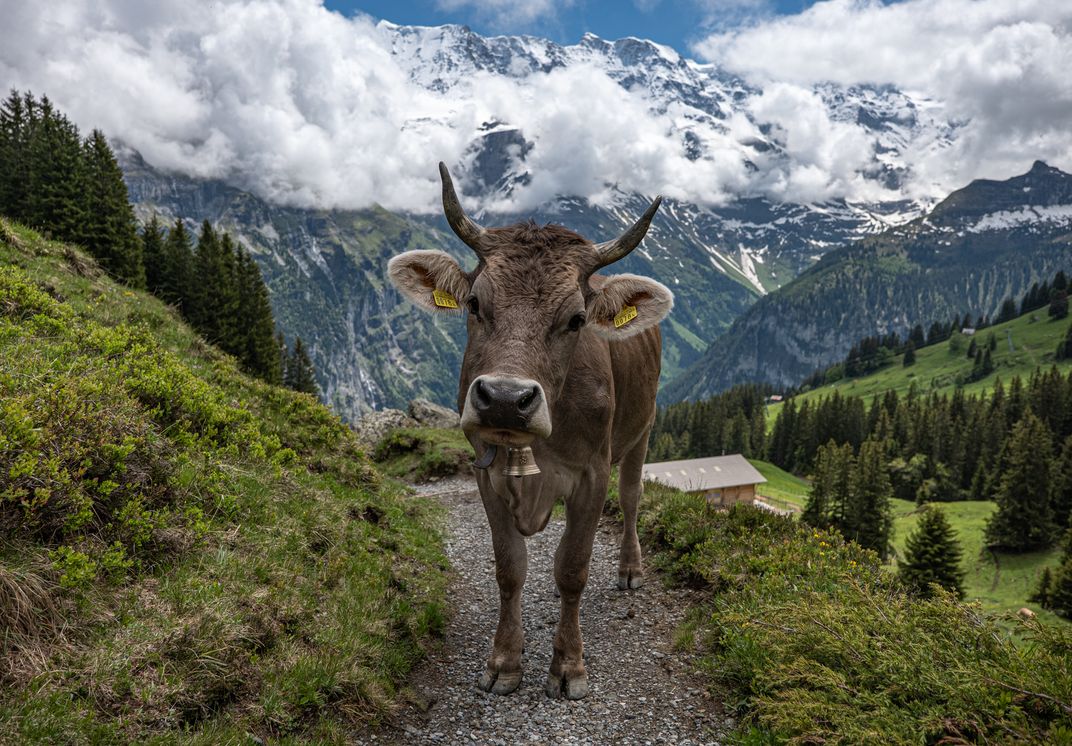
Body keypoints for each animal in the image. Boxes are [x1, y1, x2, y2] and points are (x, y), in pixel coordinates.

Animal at [387, 163, 672, 700]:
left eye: (577, 319)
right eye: (474, 304)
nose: (504, 398)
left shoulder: (591, 475)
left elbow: (573, 568)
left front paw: (569, 666)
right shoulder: (486, 475)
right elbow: (509, 567)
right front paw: (504, 661)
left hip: (642, 429)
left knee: (631, 498)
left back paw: (630, 569)